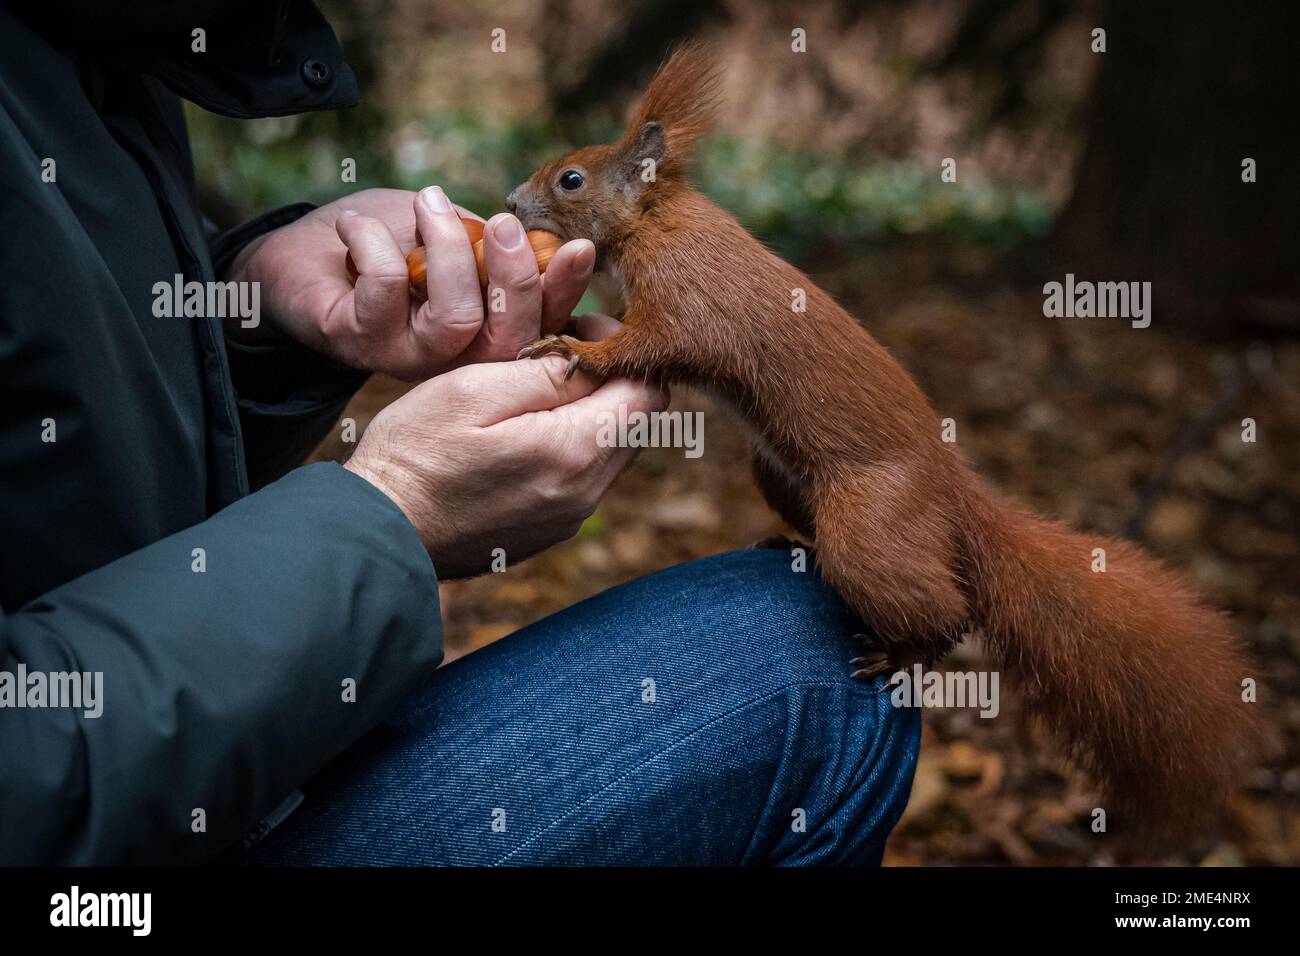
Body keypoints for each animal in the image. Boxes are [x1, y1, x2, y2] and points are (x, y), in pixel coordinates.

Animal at [504, 45, 1264, 835]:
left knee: (950, 610)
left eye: (570, 178)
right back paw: (795, 550)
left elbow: (648, 344)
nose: (511, 204)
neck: (657, 220)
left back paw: (904, 658)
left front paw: (570, 348)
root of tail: (956, 497)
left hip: (872, 526)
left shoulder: (687, 299)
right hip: (783, 475)